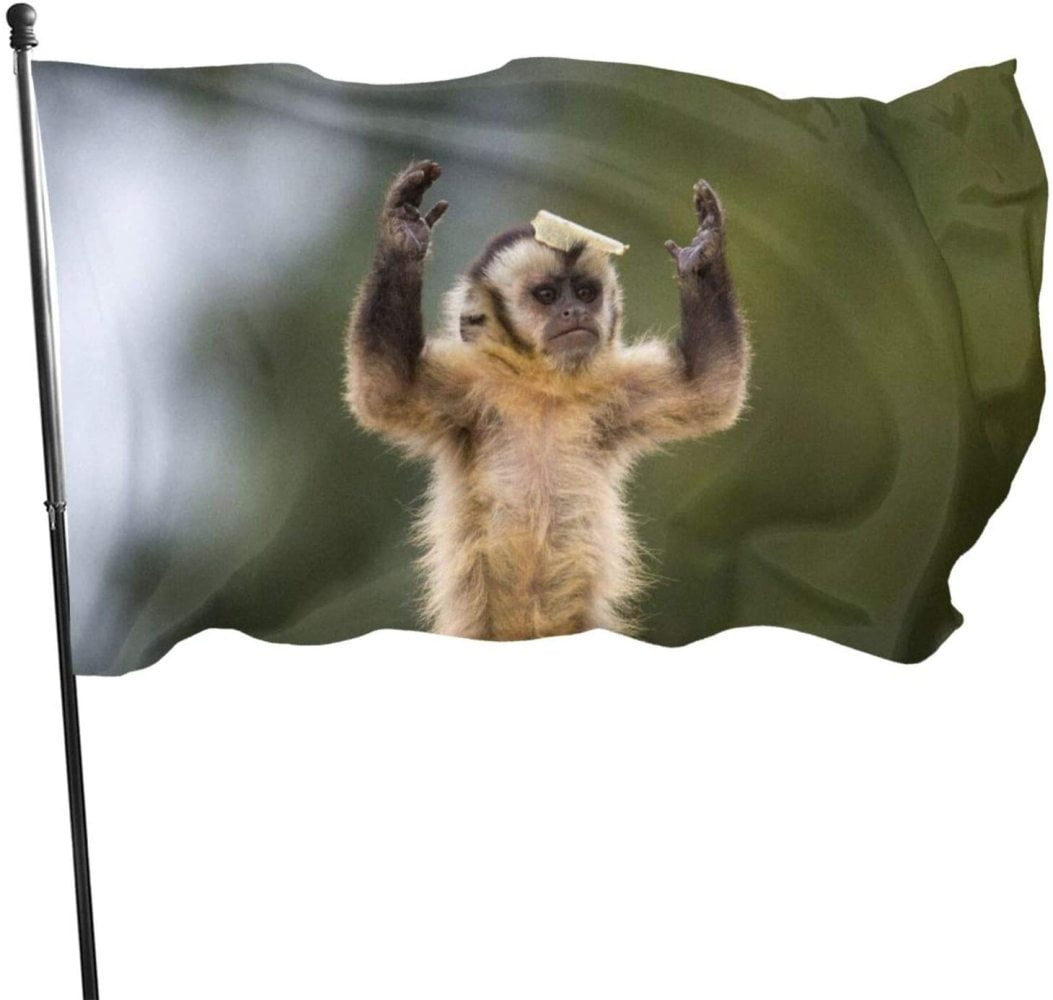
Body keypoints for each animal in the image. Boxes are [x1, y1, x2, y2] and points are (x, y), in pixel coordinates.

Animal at [344, 160, 749, 641]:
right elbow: (385, 388)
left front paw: (702, 255)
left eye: (586, 292)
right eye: (547, 296)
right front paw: (403, 233)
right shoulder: (468, 385)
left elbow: (710, 388)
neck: (544, 388)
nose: (574, 312)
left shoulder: (616, 389)